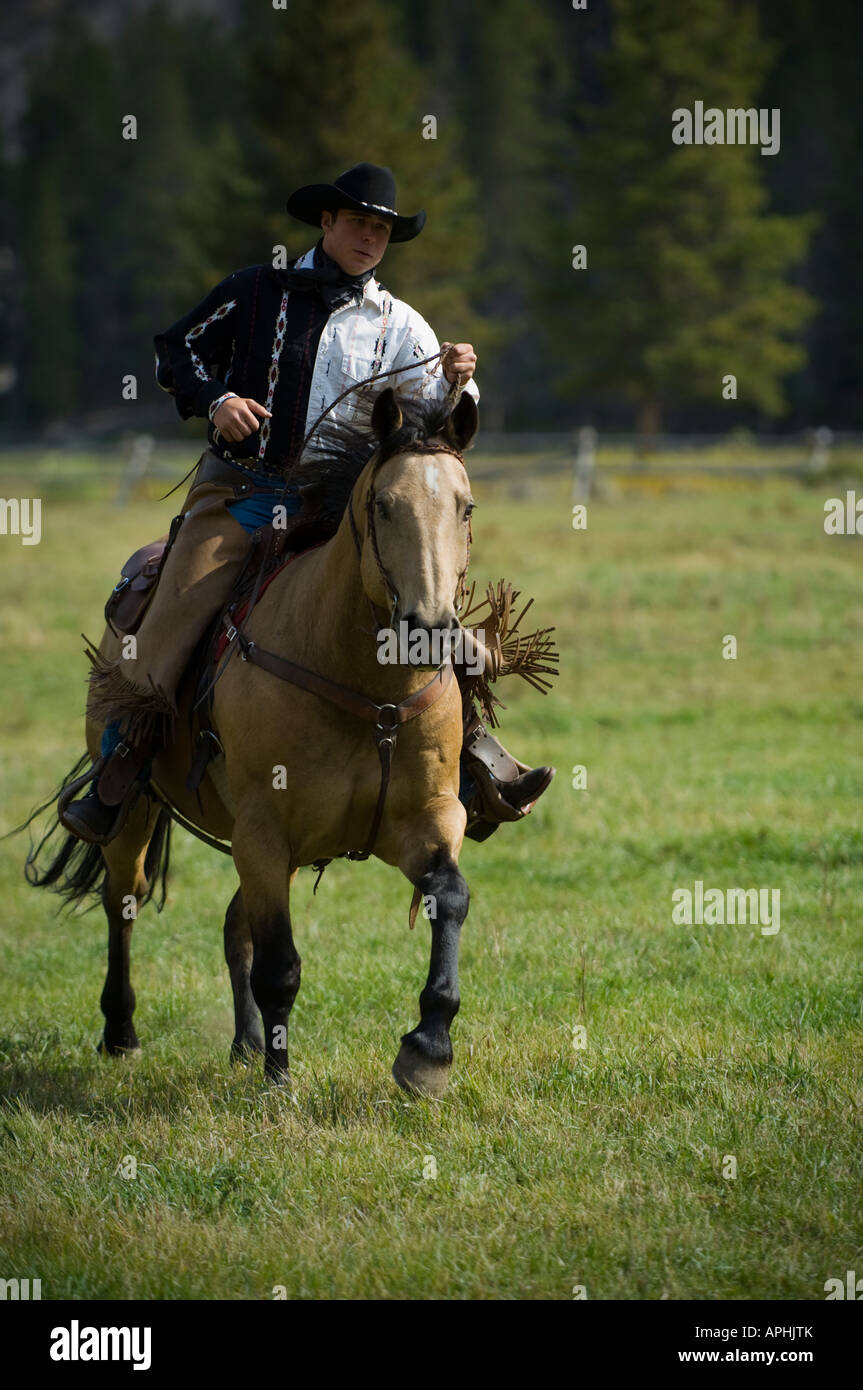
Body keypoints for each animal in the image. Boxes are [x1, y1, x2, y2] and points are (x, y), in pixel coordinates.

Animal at [27, 387, 480, 1099]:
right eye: (383, 504)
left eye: (465, 507)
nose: (427, 630)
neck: (364, 689)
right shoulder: (265, 833)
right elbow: (280, 966)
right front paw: (279, 1082)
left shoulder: (426, 821)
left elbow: (450, 897)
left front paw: (428, 1050)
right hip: (138, 810)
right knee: (122, 901)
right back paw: (122, 1032)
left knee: (231, 925)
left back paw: (243, 1043)